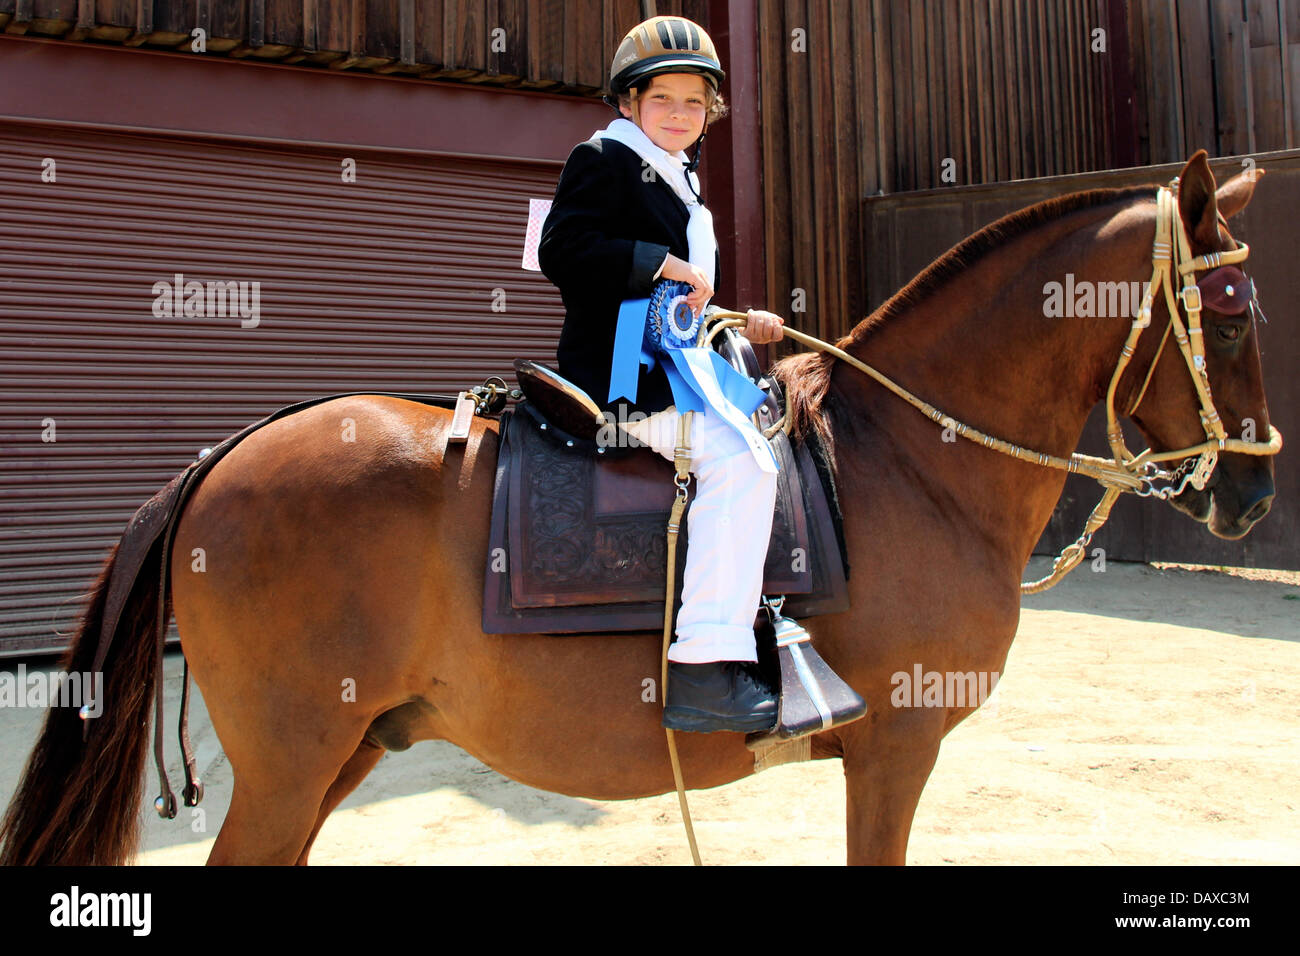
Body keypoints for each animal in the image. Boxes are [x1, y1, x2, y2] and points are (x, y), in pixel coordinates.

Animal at [0, 151, 1279, 865]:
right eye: (1225, 316)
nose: (1256, 490)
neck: (905, 458)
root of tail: (220, 457)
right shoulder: (894, 749)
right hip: (291, 760)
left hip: (338, 755)